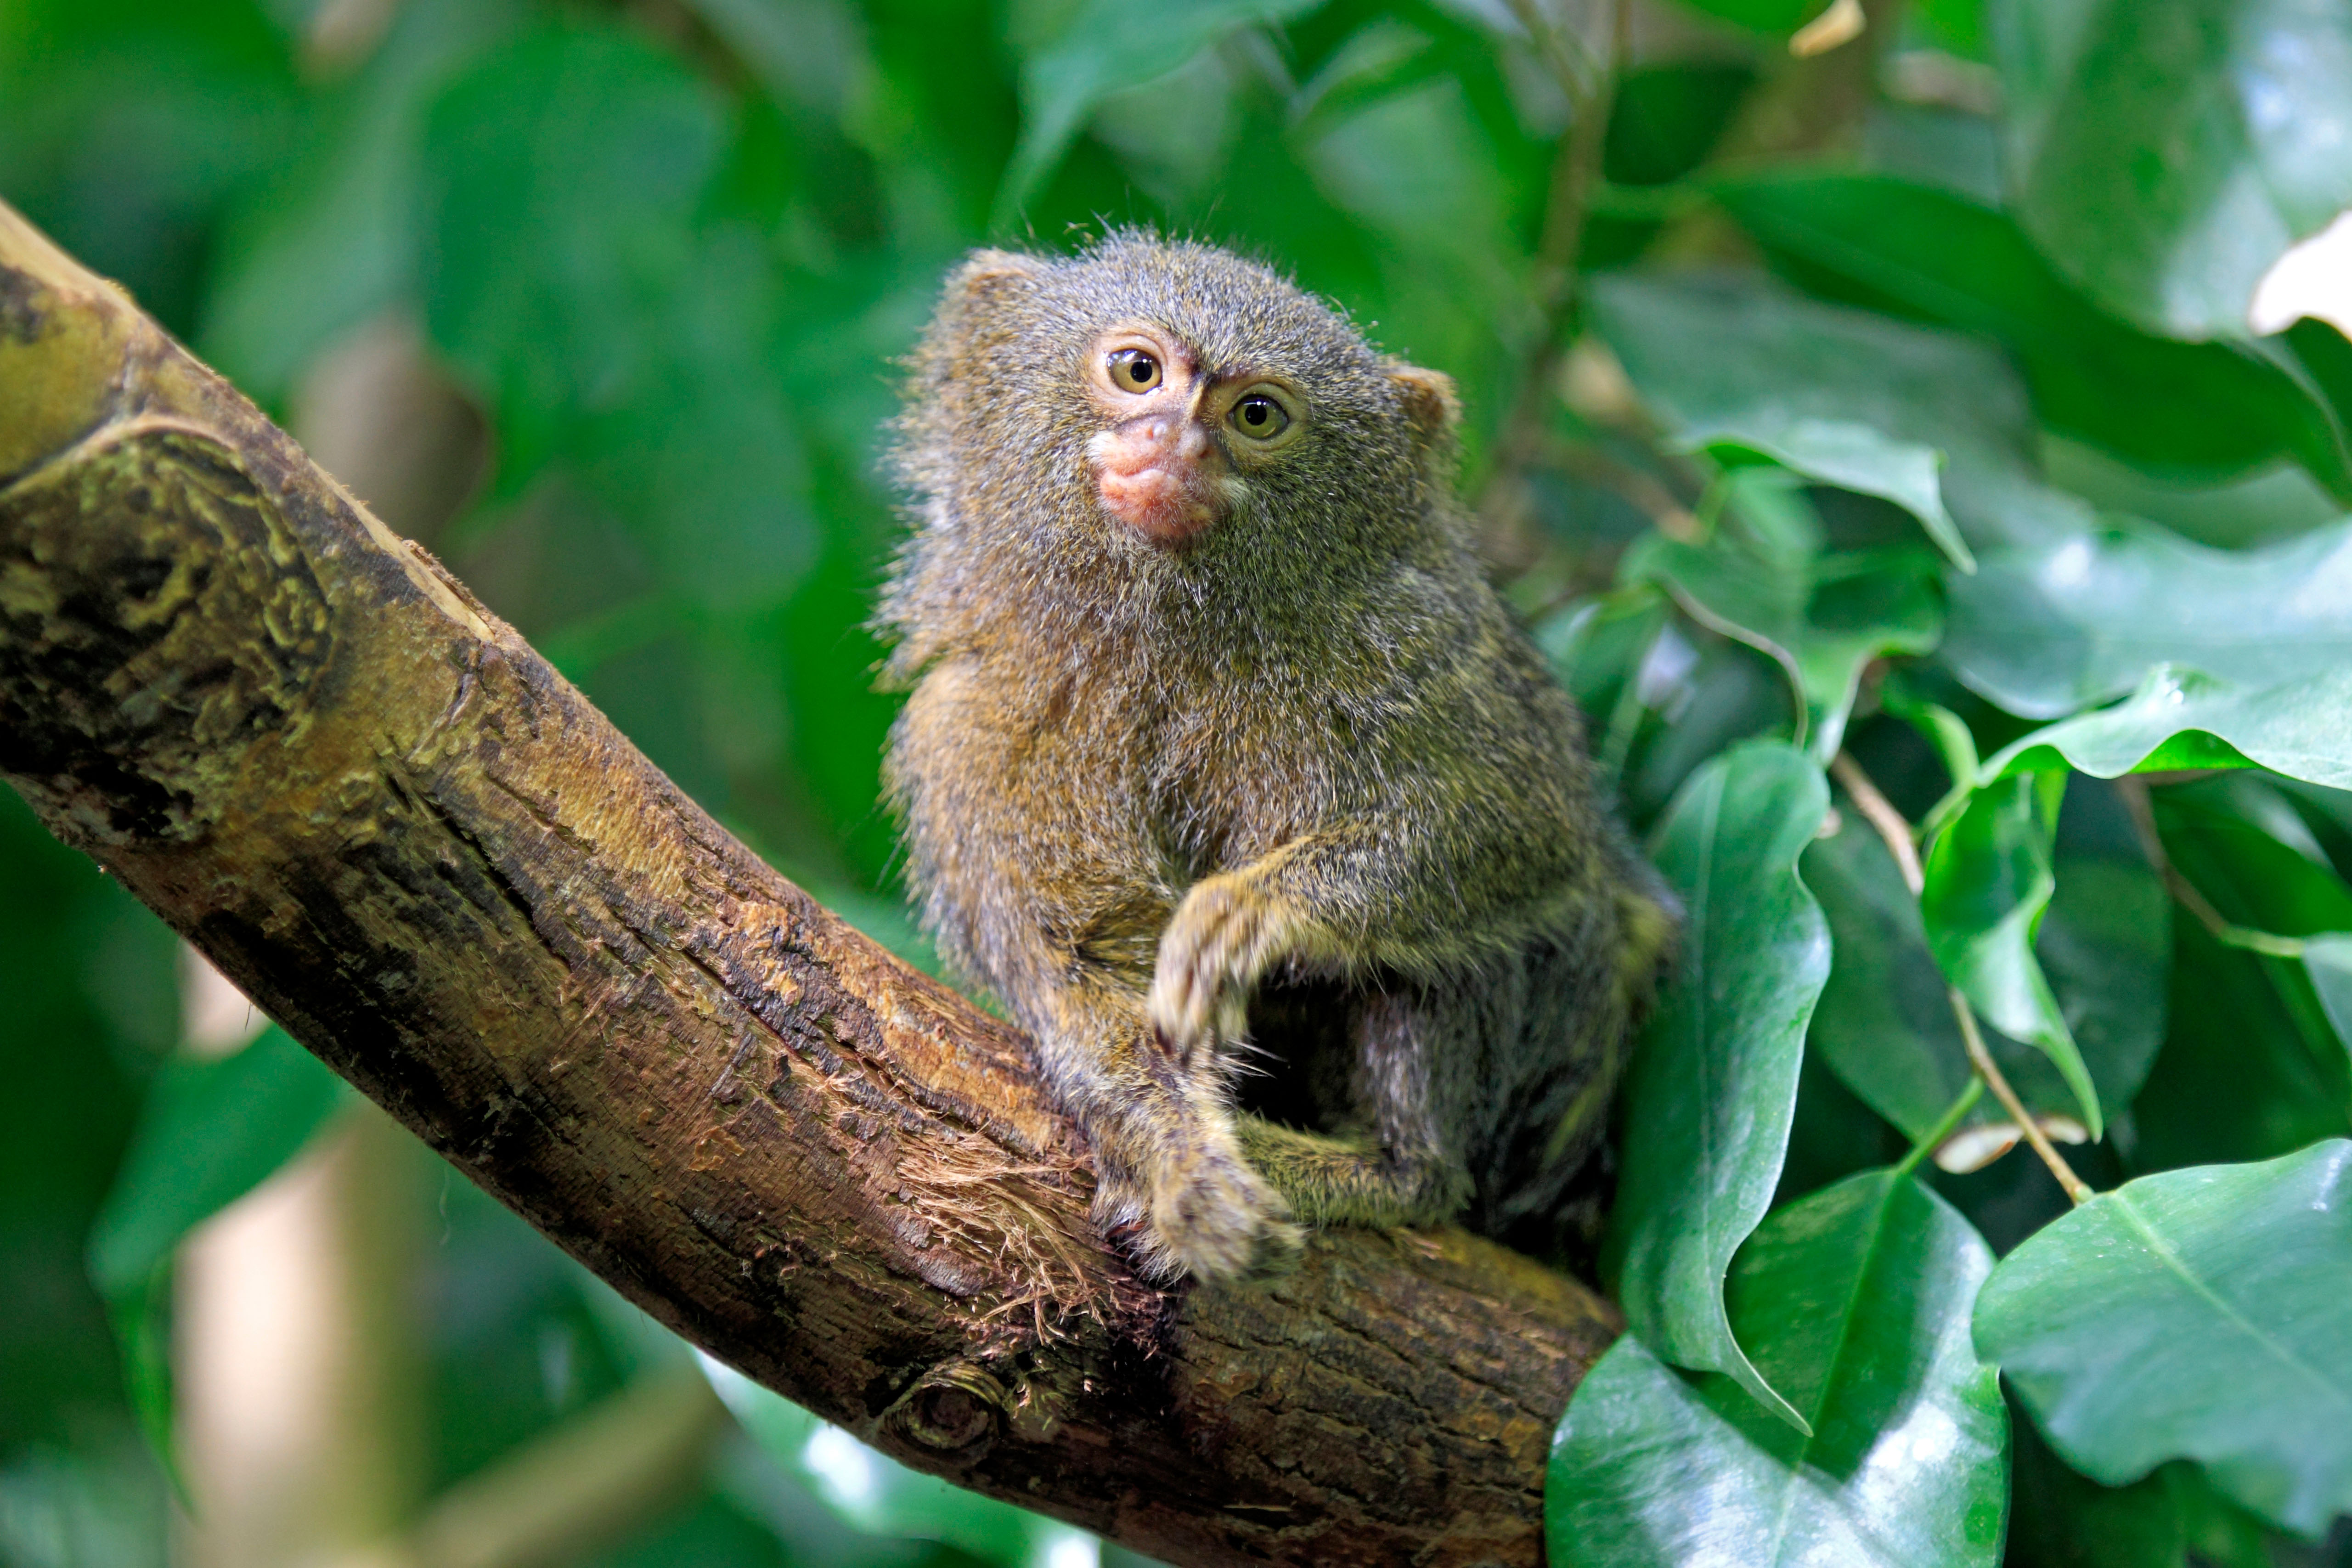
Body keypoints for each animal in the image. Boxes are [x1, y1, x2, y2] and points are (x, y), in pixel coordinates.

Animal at [876, 233, 1676, 1284]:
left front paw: (1251, 914)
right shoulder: (970, 726)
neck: (1167, 636)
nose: (1177, 446)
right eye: (1136, 371)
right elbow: (1082, 964)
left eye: (1256, 415)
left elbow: (1524, 822)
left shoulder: (1413, 643)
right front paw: (1182, 1167)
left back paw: (1383, 1168)